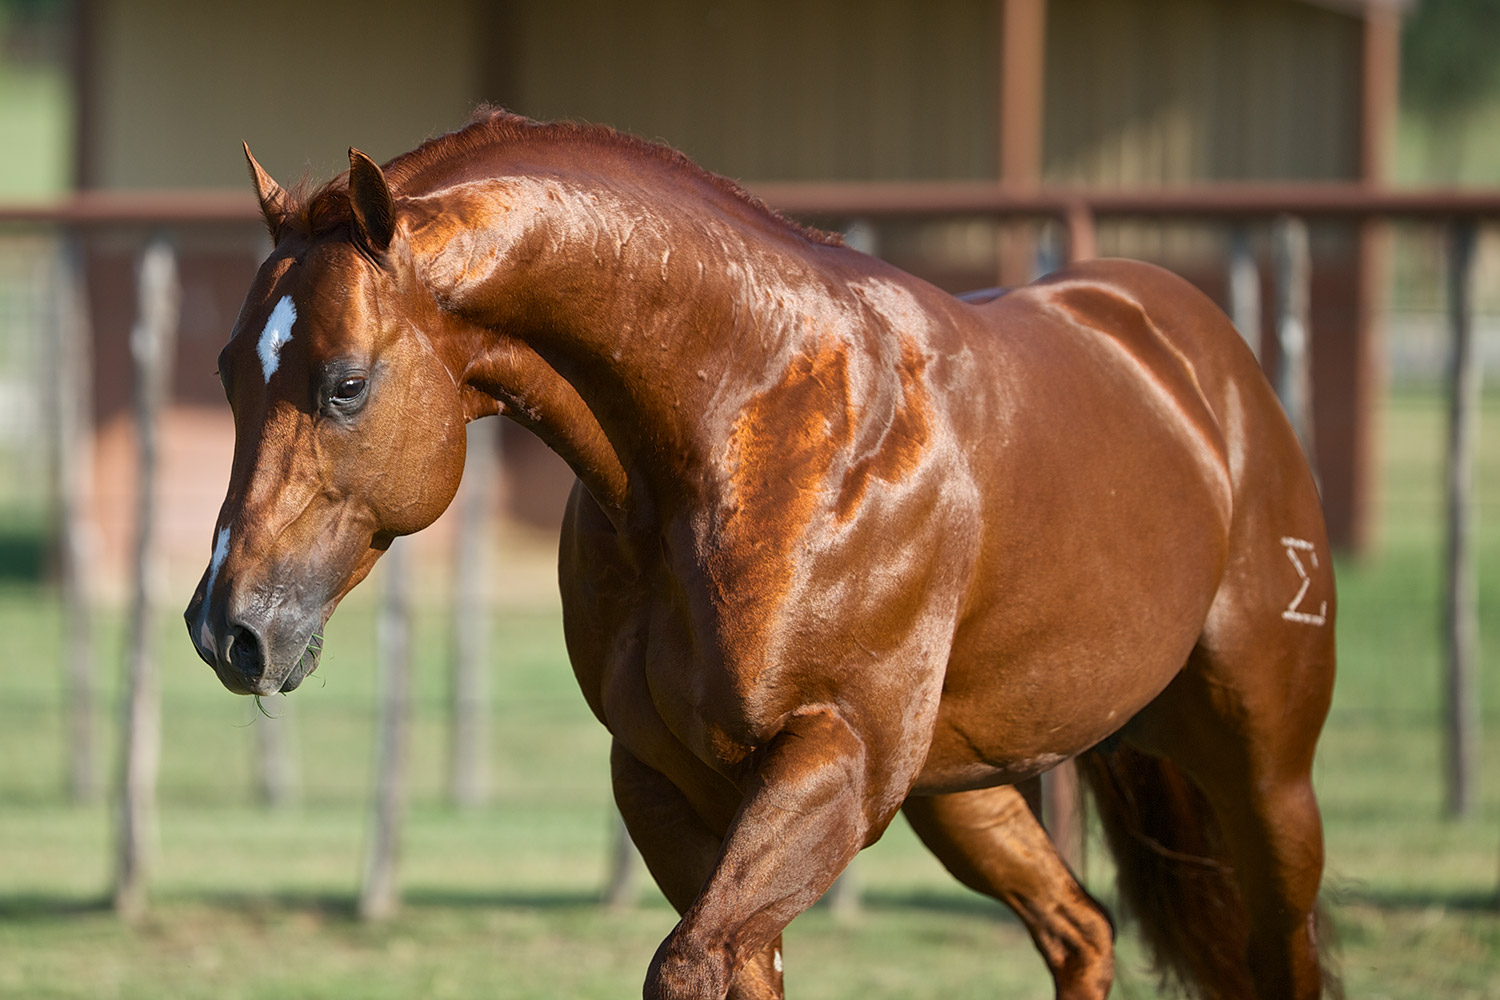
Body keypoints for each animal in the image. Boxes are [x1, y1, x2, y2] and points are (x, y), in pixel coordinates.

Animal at [185, 110, 1337, 999]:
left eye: (344, 383)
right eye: (230, 371)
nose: (224, 627)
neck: (750, 423)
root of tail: (1198, 360)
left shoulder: (833, 761)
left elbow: (689, 965)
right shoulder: (667, 781)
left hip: (1266, 780)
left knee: (1278, 949)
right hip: (966, 790)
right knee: (1081, 929)